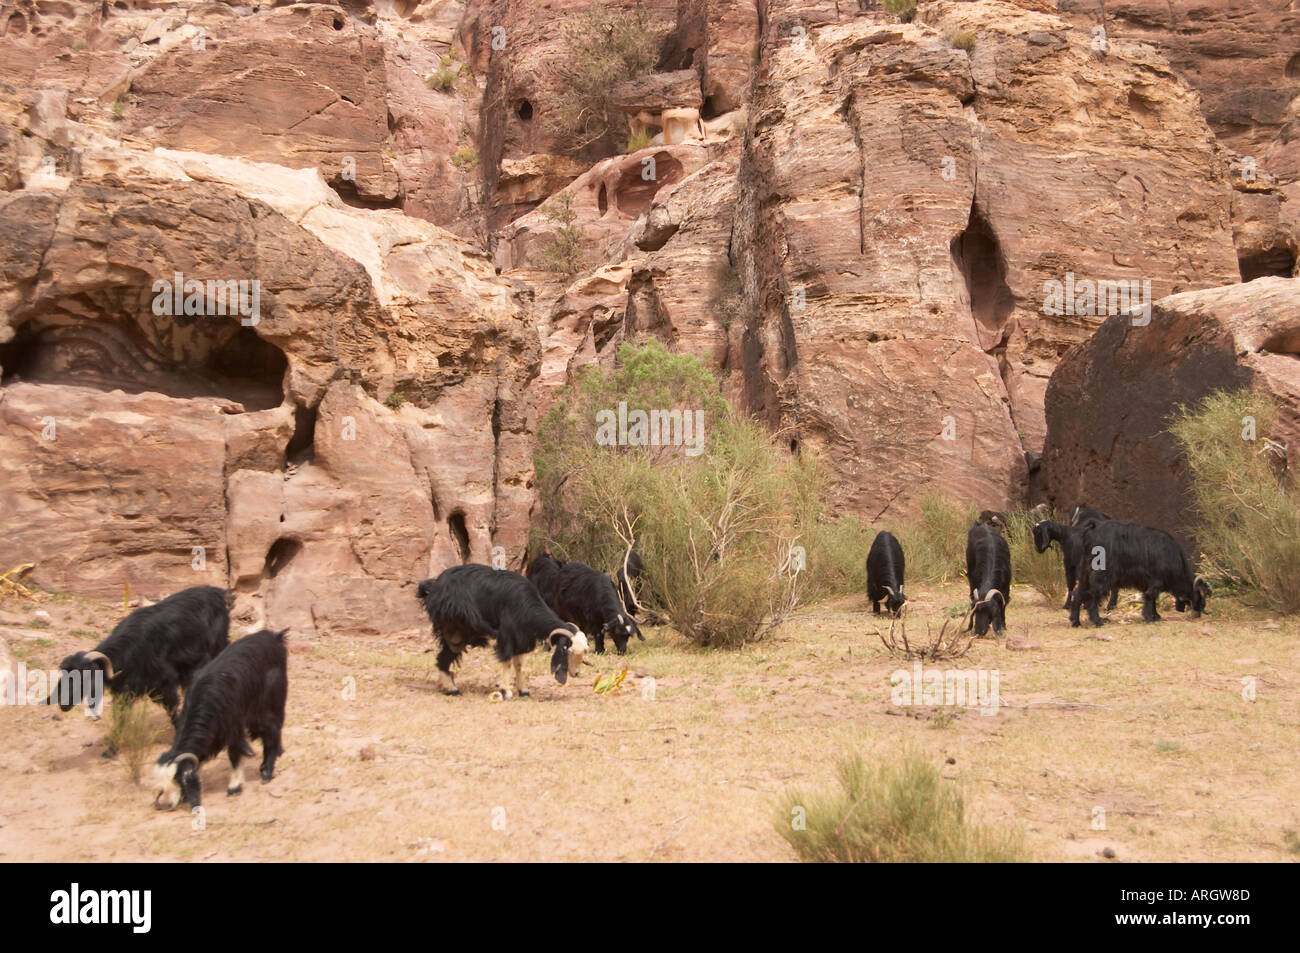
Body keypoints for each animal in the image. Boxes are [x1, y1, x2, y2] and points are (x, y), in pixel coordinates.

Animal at [45, 585, 229, 727]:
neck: (128, 651)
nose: (62, 703)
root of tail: (218, 591)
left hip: (217, 645)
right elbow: (121, 716)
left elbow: (172, 710)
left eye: (84, 677)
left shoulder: (164, 684)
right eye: (63, 675)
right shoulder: (129, 690)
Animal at [153, 628, 288, 811]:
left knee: (272, 727)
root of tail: (275, 637)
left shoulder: (233, 727)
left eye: (178, 778)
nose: (165, 805)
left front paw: (234, 787)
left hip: (268, 702)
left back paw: (267, 771)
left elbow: (235, 753)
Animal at [417, 564, 588, 699]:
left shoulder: (522, 638)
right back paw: (451, 688)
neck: (524, 605)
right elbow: (507, 660)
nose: (576, 673)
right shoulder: (507, 636)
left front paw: (523, 690)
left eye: (585, 651)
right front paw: (506, 692)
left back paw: (448, 687)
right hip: (454, 629)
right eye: (568, 650)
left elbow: (518, 663)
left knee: (443, 656)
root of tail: (434, 586)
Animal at [1069, 520, 1210, 627]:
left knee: (1078, 593)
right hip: (1102, 576)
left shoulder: (1148, 584)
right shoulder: (1155, 583)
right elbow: (1150, 597)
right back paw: (1098, 621)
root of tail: (1091, 532)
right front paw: (1149, 617)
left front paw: (1155, 616)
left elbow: (1151, 600)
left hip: (1085, 574)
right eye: (1200, 596)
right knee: (1091, 595)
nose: (1199, 613)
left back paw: (1075, 621)